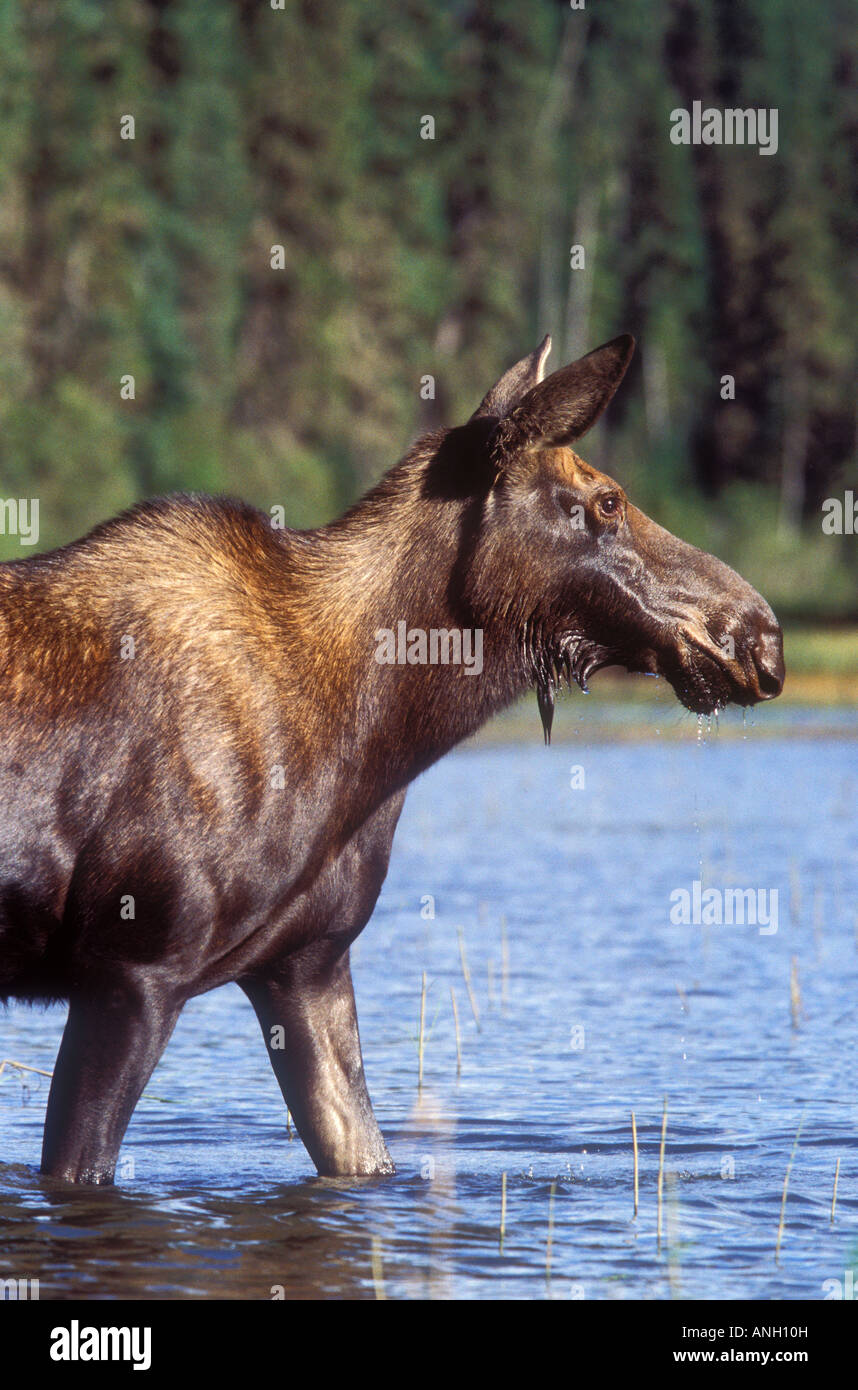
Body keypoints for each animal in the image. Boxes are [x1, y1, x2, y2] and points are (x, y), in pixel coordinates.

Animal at [0, 333, 784, 1183]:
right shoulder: (132, 970)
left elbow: (364, 1153)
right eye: (606, 501)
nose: (761, 636)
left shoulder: (307, 966)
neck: (376, 744)